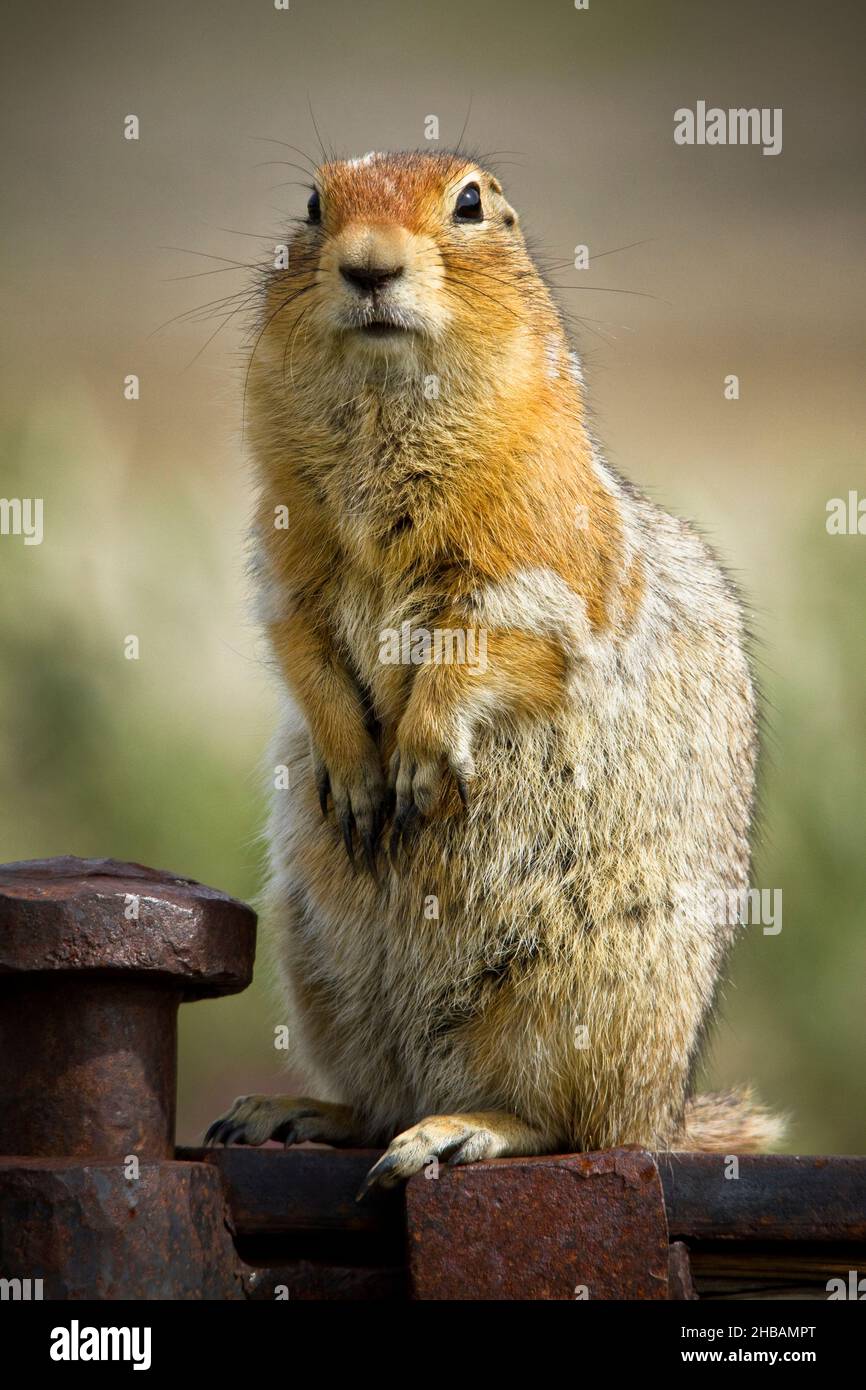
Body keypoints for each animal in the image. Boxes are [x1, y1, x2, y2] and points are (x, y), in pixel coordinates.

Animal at [206, 151, 784, 1192]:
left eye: (470, 203)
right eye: (313, 204)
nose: (368, 264)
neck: (386, 422)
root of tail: (667, 1113)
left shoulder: (532, 550)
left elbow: (488, 643)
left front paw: (419, 763)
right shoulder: (287, 558)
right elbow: (301, 645)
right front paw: (355, 777)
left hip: (580, 996)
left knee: (570, 1126)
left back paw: (458, 1130)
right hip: (320, 973)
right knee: (379, 1097)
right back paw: (292, 1111)